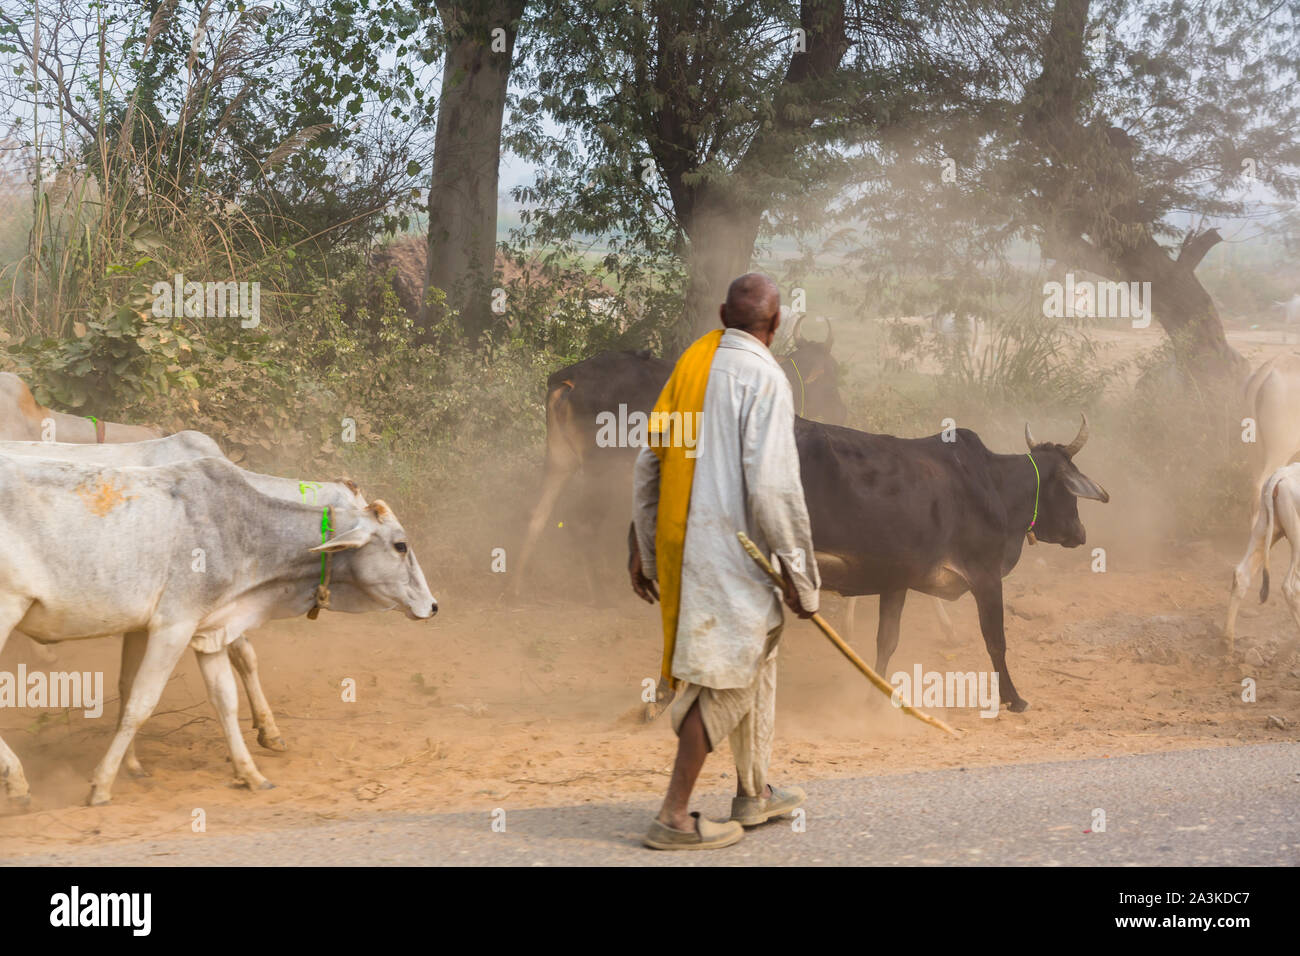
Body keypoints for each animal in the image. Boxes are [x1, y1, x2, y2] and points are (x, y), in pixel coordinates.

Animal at [0, 454, 436, 806]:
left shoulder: (209, 632)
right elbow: (140, 704)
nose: (432, 606)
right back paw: (18, 782)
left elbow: (225, 701)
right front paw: (102, 785)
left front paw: (252, 774)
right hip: (8, 609)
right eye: (400, 546)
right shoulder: (173, 625)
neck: (245, 530)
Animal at [512, 315, 846, 598]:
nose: (839, 409)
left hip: (559, 459)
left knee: (536, 514)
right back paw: (600, 592)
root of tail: (572, 378)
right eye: (831, 375)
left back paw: (517, 583)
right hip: (601, 468)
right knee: (583, 524)